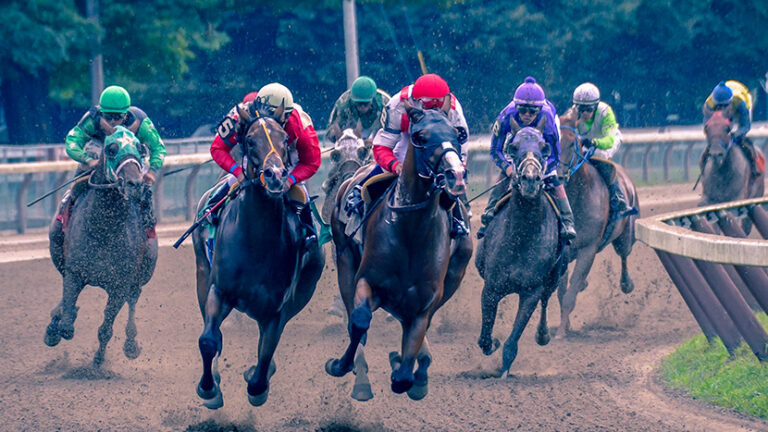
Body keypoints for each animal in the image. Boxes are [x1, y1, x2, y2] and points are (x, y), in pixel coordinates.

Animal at [44, 126, 157, 367]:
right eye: (111, 149)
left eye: (140, 148)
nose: (134, 184)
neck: (105, 230)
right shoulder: (75, 273)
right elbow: (67, 325)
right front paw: (57, 326)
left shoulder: (119, 285)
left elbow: (106, 329)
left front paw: (98, 361)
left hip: (143, 272)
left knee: (133, 299)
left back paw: (131, 344)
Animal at [191, 106, 325, 410]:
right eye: (250, 141)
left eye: (285, 139)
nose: (275, 175)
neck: (257, 241)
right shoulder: (219, 290)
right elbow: (208, 341)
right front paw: (209, 389)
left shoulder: (276, 308)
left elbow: (266, 353)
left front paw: (257, 387)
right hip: (202, 274)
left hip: (304, 291)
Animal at [326, 102, 473, 401]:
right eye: (420, 136)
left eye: (458, 134)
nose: (456, 175)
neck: (411, 230)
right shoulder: (368, 280)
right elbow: (359, 321)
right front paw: (342, 365)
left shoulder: (425, 301)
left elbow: (406, 372)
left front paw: (409, 371)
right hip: (344, 258)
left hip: (456, 272)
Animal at [474, 126, 566, 377]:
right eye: (513, 148)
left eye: (544, 148)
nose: (531, 179)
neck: (520, 238)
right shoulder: (491, 287)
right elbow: (484, 337)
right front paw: (493, 343)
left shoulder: (530, 291)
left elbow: (513, 340)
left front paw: (504, 369)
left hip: (554, 276)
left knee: (546, 300)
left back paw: (543, 335)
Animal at [556, 108, 638, 336]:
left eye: (571, 143)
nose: (558, 176)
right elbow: (562, 291)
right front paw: (565, 326)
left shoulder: (589, 248)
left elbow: (569, 294)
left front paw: (561, 332)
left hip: (625, 236)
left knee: (625, 254)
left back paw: (626, 284)